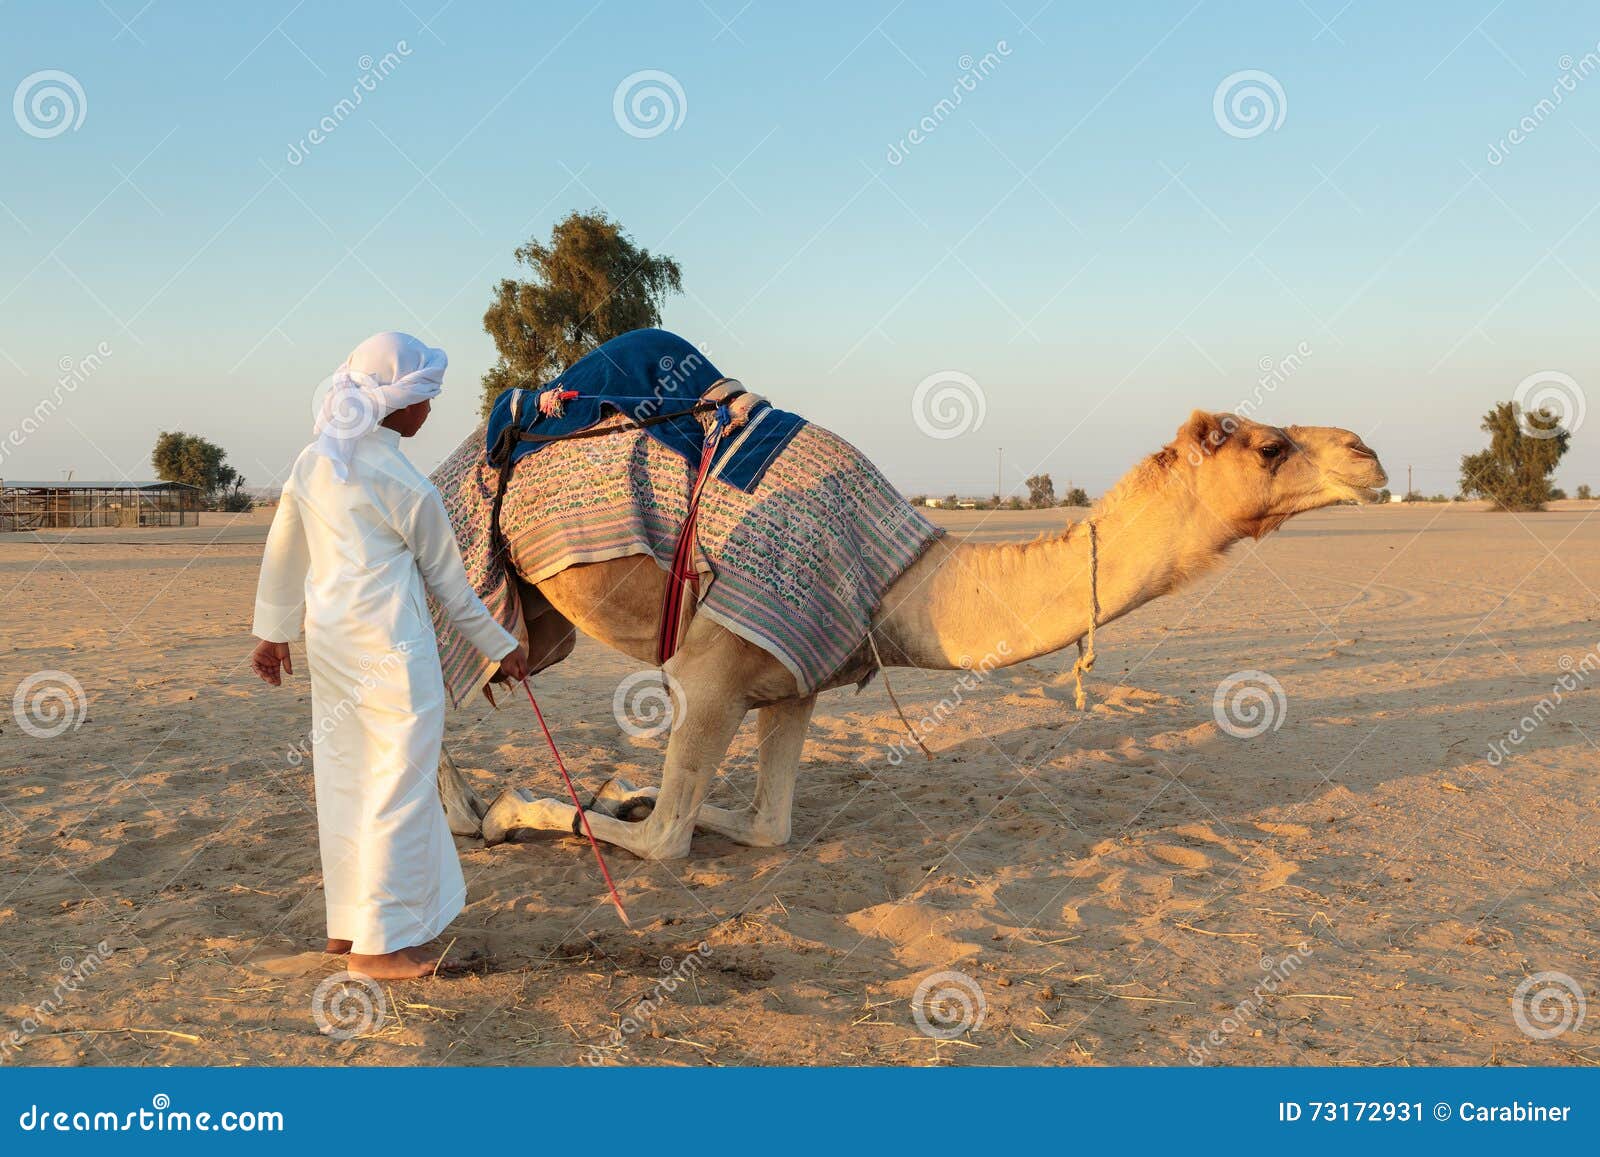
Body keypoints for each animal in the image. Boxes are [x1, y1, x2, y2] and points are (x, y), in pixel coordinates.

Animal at [437, 409, 1386, 861]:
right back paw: (466, 818)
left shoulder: (792, 684)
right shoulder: (706, 672)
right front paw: (522, 809)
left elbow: (765, 825)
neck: (895, 576)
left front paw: (616, 792)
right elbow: (668, 837)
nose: (1368, 451)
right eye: (1268, 446)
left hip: (543, 621)